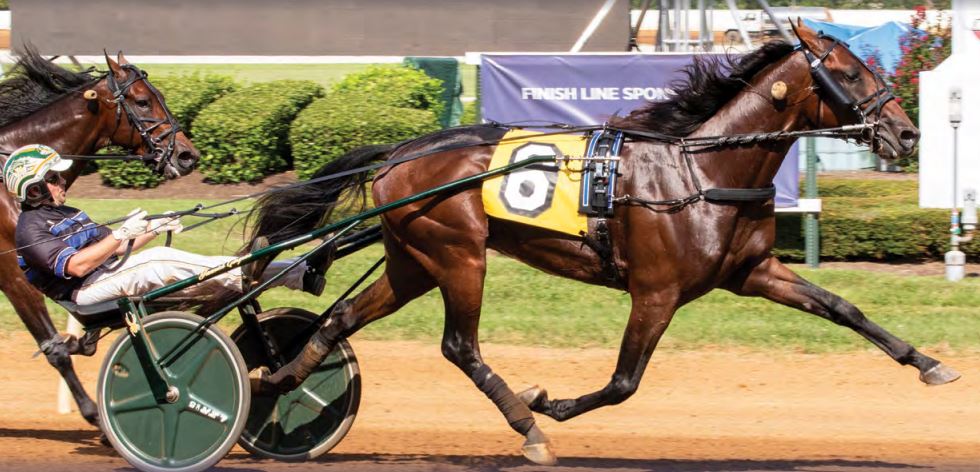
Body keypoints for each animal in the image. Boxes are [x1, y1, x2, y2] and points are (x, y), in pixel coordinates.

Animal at [0, 46, 199, 427]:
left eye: (160, 97)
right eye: (142, 101)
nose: (187, 155)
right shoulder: (13, 272)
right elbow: (54, 348)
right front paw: (93, 412)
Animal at [246, 22, 956, 464]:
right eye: (850, 73)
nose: (908, 134)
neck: (699, 170)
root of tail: (401, 151)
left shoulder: (752, 269)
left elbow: (844, 308)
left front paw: (930, 364)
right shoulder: (657, 292)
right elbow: (623, 383)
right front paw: (550, 403)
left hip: (413, 261)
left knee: (339, 318)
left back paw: (275, 382)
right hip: (459, 255)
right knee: (459, 346)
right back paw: (528, 426)